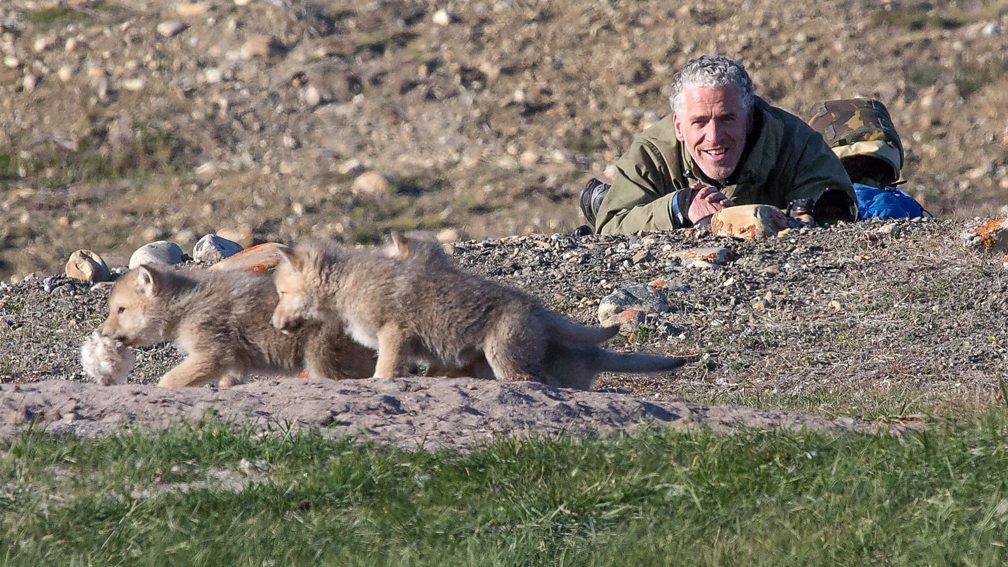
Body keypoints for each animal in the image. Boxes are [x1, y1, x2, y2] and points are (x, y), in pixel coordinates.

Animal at [98, 264, 375, 387]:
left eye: (120, 309)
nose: (102, 332)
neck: (187, 304)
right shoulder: (234, 363)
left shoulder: (213, 353)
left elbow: (168, 380)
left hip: (322, 359)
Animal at [271, 234, 687, 389]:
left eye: (282, 292)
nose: (273, 324)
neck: (348, 284)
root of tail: (537, 307)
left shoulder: (395, 334)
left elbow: (383, 372)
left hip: (505, 359)